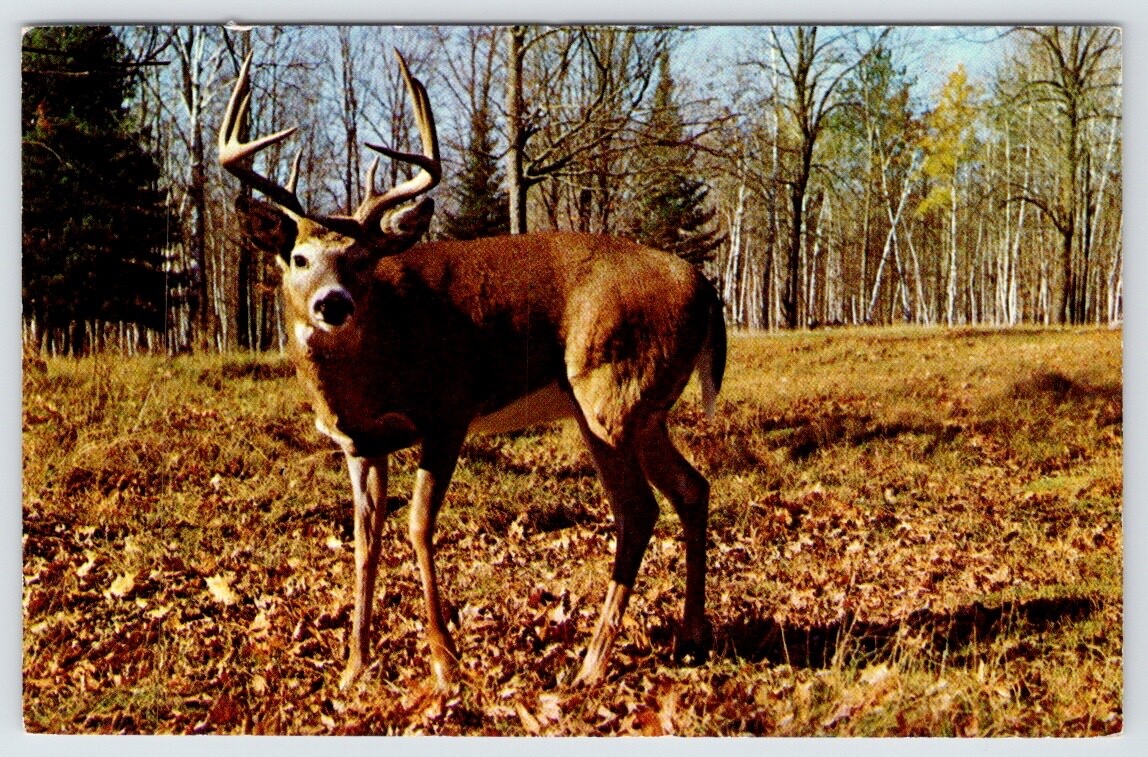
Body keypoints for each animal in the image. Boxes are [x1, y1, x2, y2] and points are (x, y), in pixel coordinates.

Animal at [218, 49, 727, 692]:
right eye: (300, 258)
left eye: (360, 259)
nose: (333, 304)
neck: (374, 367)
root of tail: (706, 286)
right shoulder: (360, 444)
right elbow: (364, 539)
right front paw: (354, 666)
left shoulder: (447, 412)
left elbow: (416, 526)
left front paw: (444, 661)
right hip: (640, 410)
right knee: (692, 487)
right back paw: (691, 636)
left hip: (610, 395)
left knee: (639, 510)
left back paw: (590, 663)